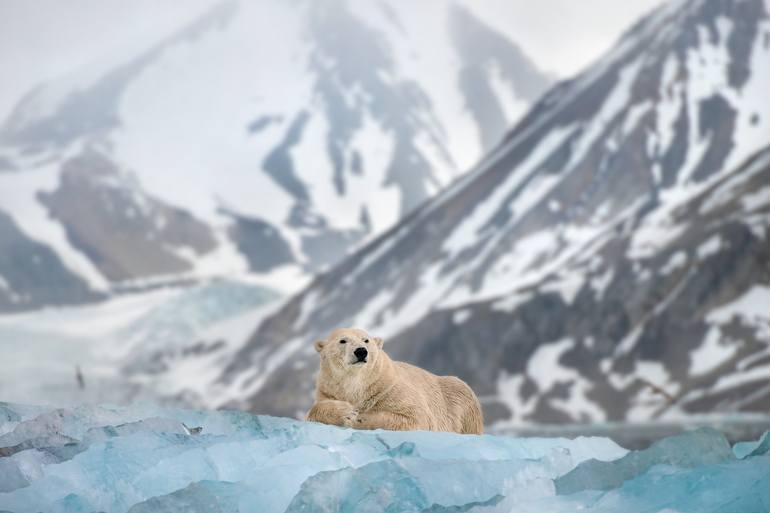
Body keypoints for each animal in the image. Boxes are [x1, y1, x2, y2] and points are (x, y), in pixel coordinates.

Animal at [305, 327, 483, 434]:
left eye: (366, 340)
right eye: (342, 340)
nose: (361, 351)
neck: (357, 385)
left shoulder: (388, 388)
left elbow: (415, 416)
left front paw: (359, 418)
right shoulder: (328, 391)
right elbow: (314, 411)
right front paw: (347, 412)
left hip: (459, 397)